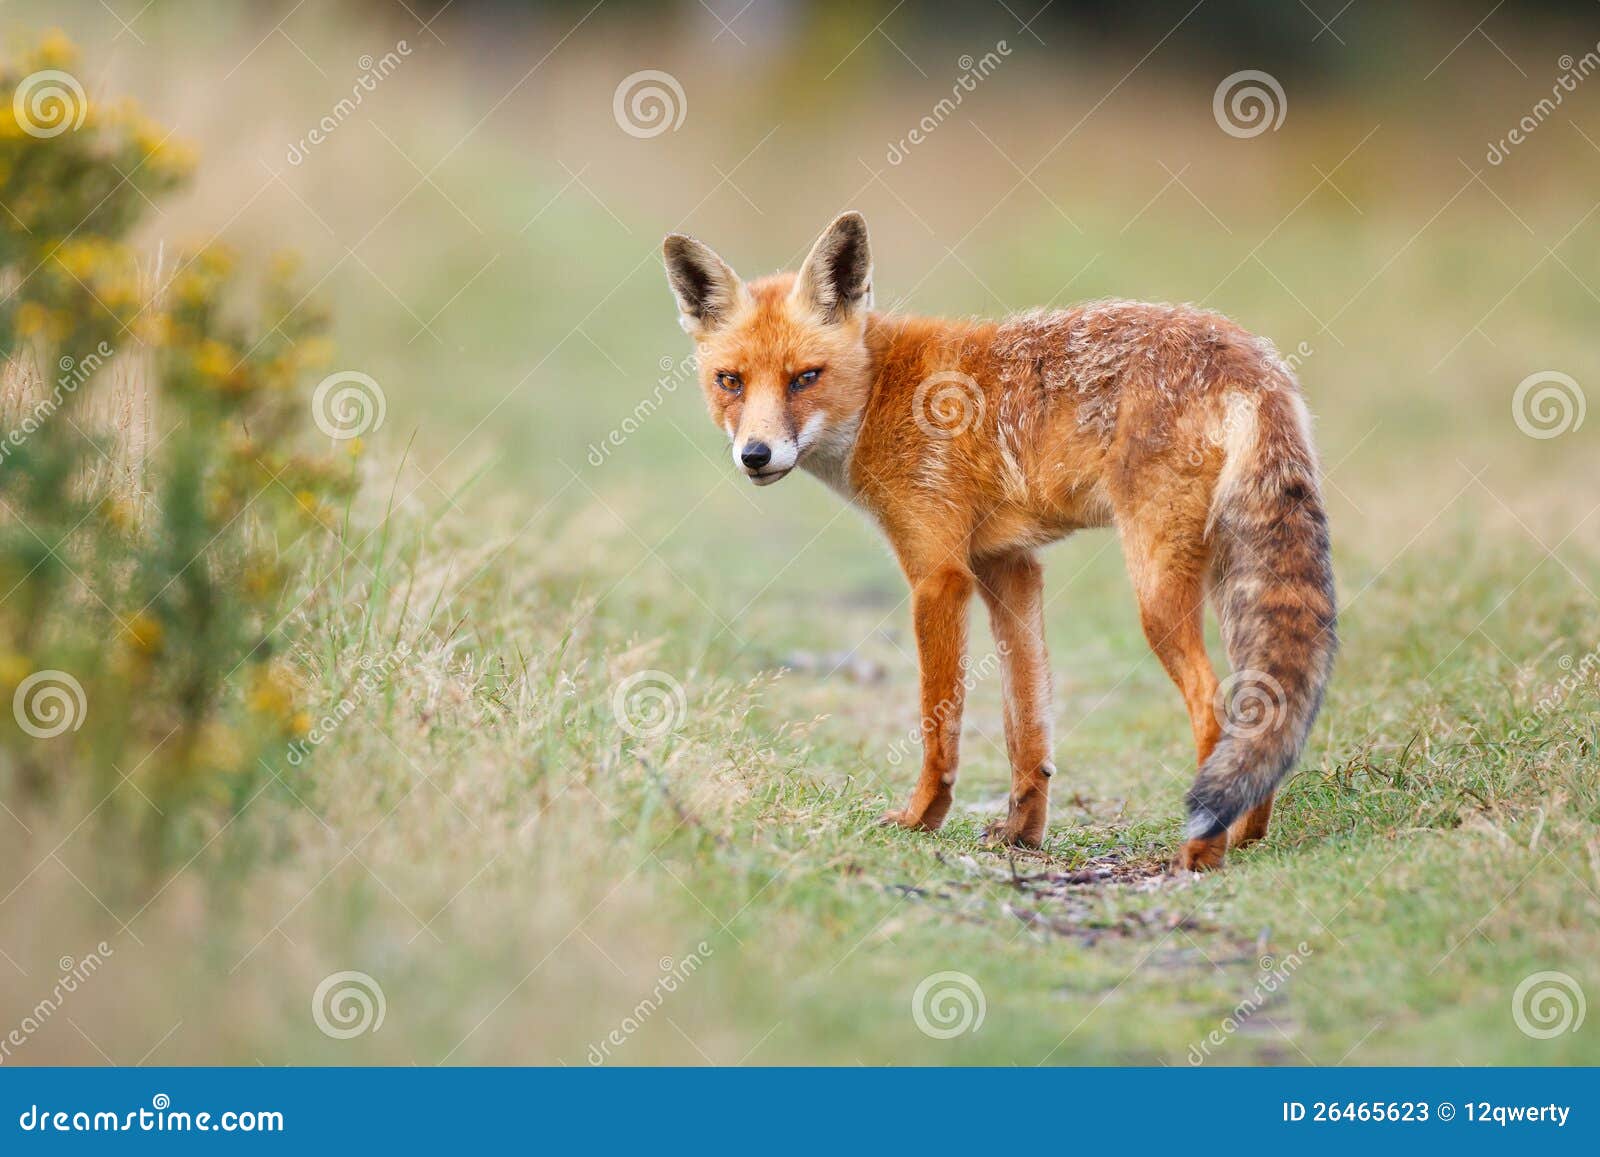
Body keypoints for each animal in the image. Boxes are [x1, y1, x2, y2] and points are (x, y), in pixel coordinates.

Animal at [660, 212, 1336, 870]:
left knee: (1213, 709)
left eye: (805, 378)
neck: (880, 393)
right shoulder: (1008, 566)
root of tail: (1251, 359)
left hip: (1157, 592)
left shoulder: (938, 575)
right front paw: (1022, 835)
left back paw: (1200, 854)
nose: (755, 455)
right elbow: (1025, 724)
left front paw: (922, 818)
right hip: (1230, 582)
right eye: (730, 381)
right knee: (1262, 706)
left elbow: (940, 724)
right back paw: (1246, 834)